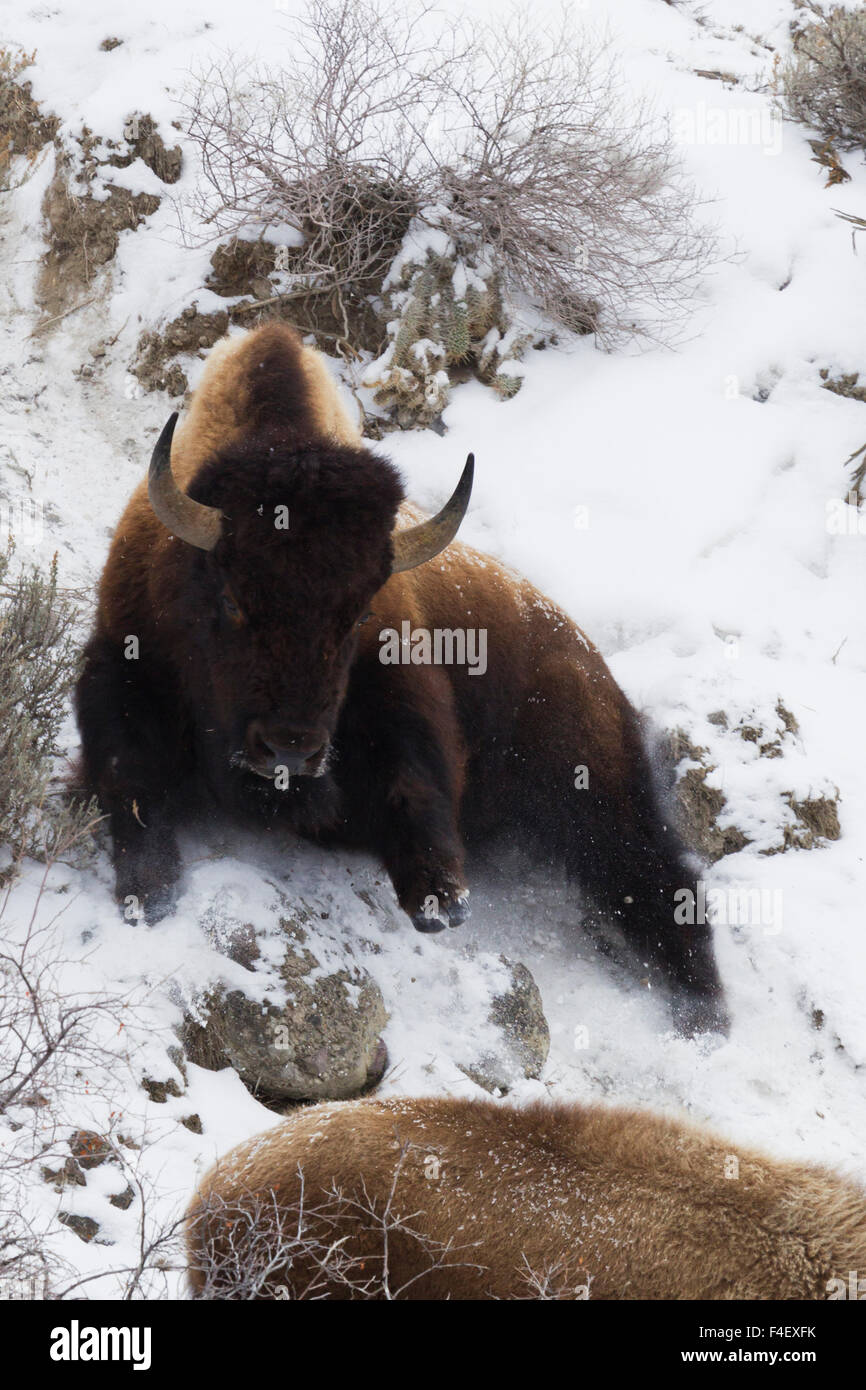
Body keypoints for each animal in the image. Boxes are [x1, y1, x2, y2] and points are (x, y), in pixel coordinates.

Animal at [76, 323, 727, 1033]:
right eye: (231, 600)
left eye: (359, 613)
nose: (289, 750)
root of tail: (590, 660)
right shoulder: (121, 665)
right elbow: (128, 776)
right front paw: (150, 894)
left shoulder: (404, 688)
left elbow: (414, 779)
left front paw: (440, 899)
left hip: (591, 794)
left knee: (654, 879)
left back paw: (704, 1014)